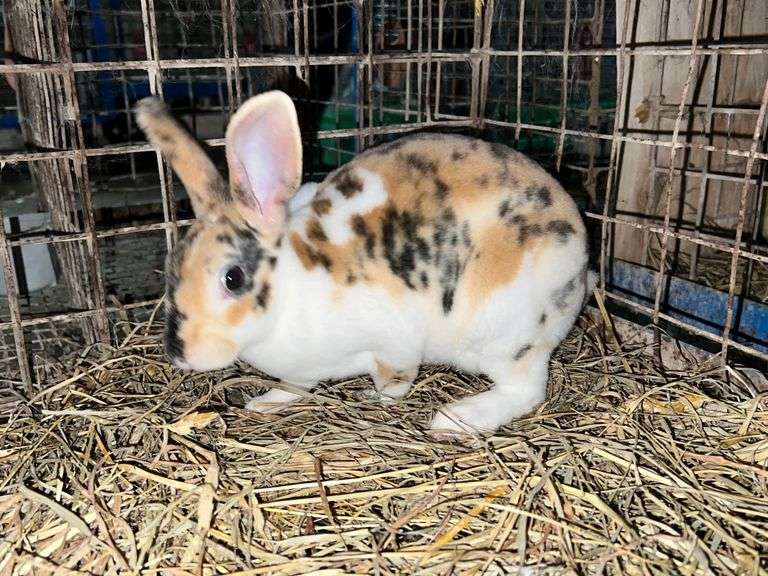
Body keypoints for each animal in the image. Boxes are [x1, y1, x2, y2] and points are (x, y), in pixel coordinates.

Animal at [134, 91, 591, 434]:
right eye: (172, 265)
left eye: (233, 277)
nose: (181, 354)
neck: (290, 292)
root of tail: (581, 259)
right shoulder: (302, 371)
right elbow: (294, 386)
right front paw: (265, 402)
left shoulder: (394, 342)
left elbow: (395, 377)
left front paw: (376, 396)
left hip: (505, 336)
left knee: (526, 390)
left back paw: (457, 418)